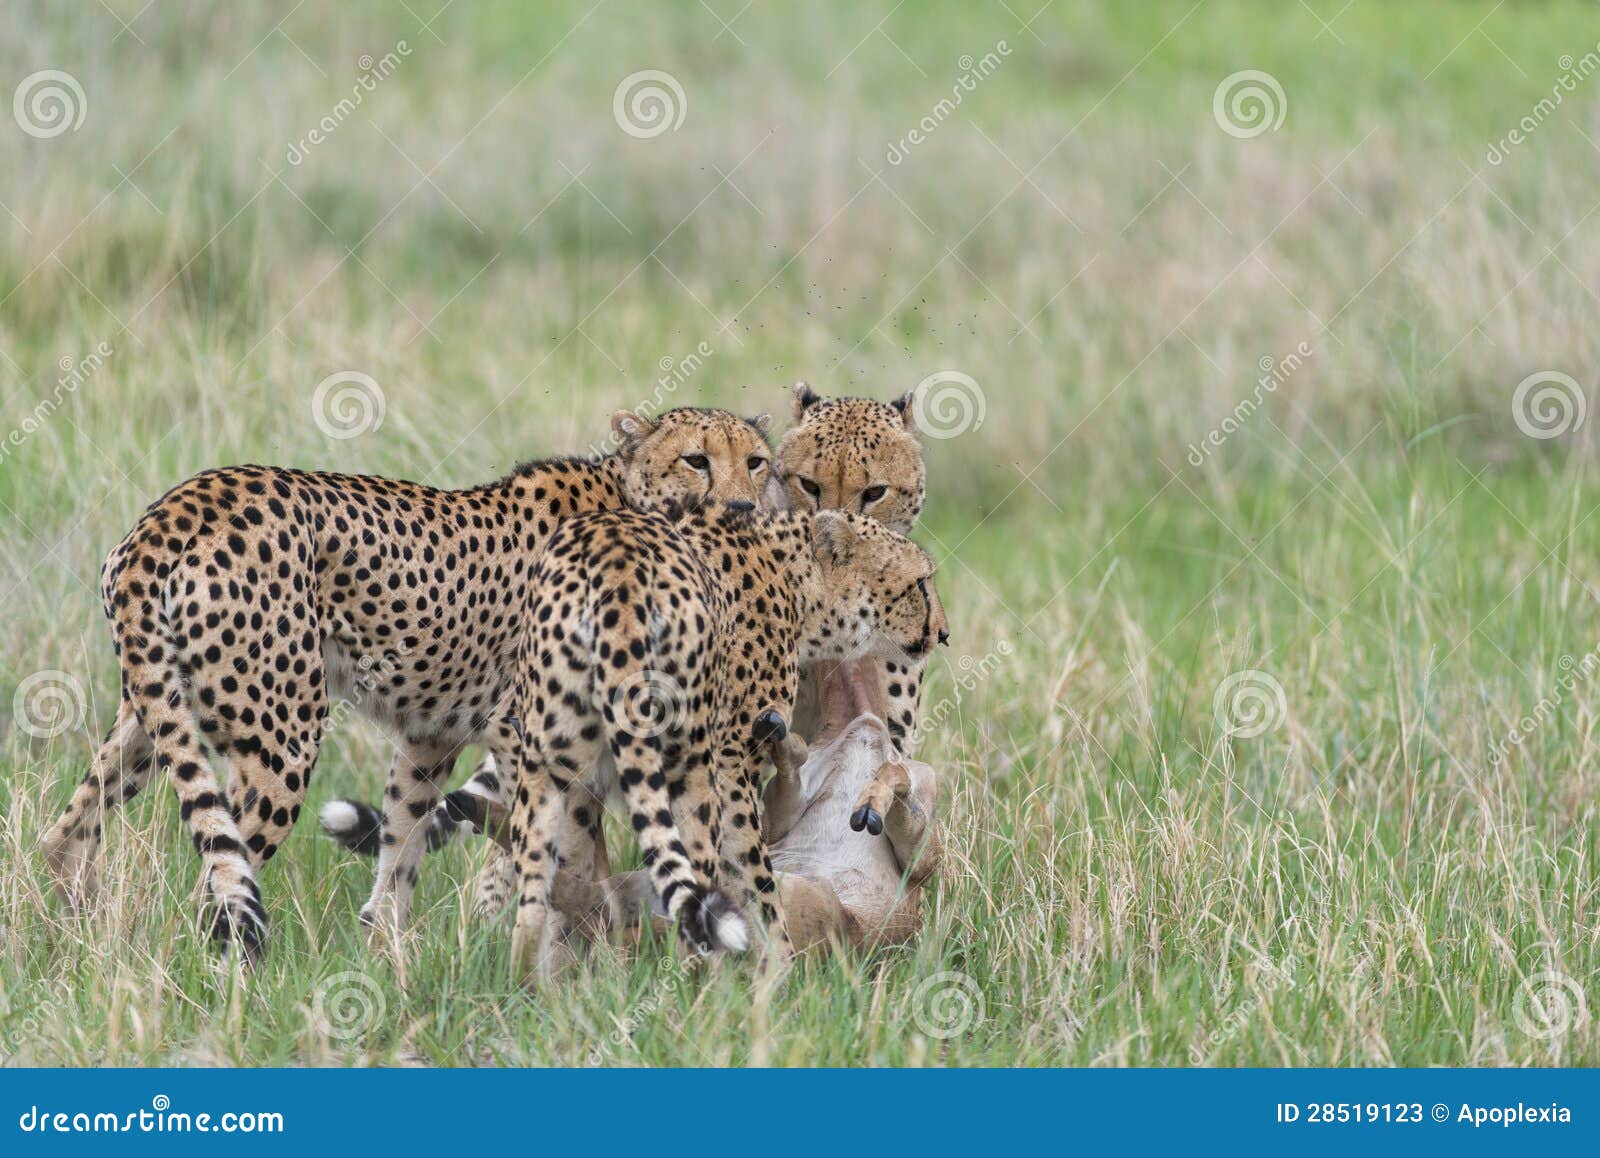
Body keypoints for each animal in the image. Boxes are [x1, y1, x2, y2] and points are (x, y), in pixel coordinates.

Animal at [39, 405, 776, 961]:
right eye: (697, 459)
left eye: (757, 461)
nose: (744, 506)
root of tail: (179, 504)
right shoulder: (524, 732)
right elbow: (550, 847)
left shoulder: (431, 735)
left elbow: (403, 844)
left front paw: (387, 954)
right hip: (280, 744)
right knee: (217, 889)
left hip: (156, 713)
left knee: (67, 835)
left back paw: (75, 948)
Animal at [496, 499, 946, 980]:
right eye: (920, 582)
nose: (943, 633)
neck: (797, 582)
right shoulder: (735, 758)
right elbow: (748, 866)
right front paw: (771, 963)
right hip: (691, 761)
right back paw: (712, 977)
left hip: (552, 754)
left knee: (539, 877)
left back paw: (533, 980)